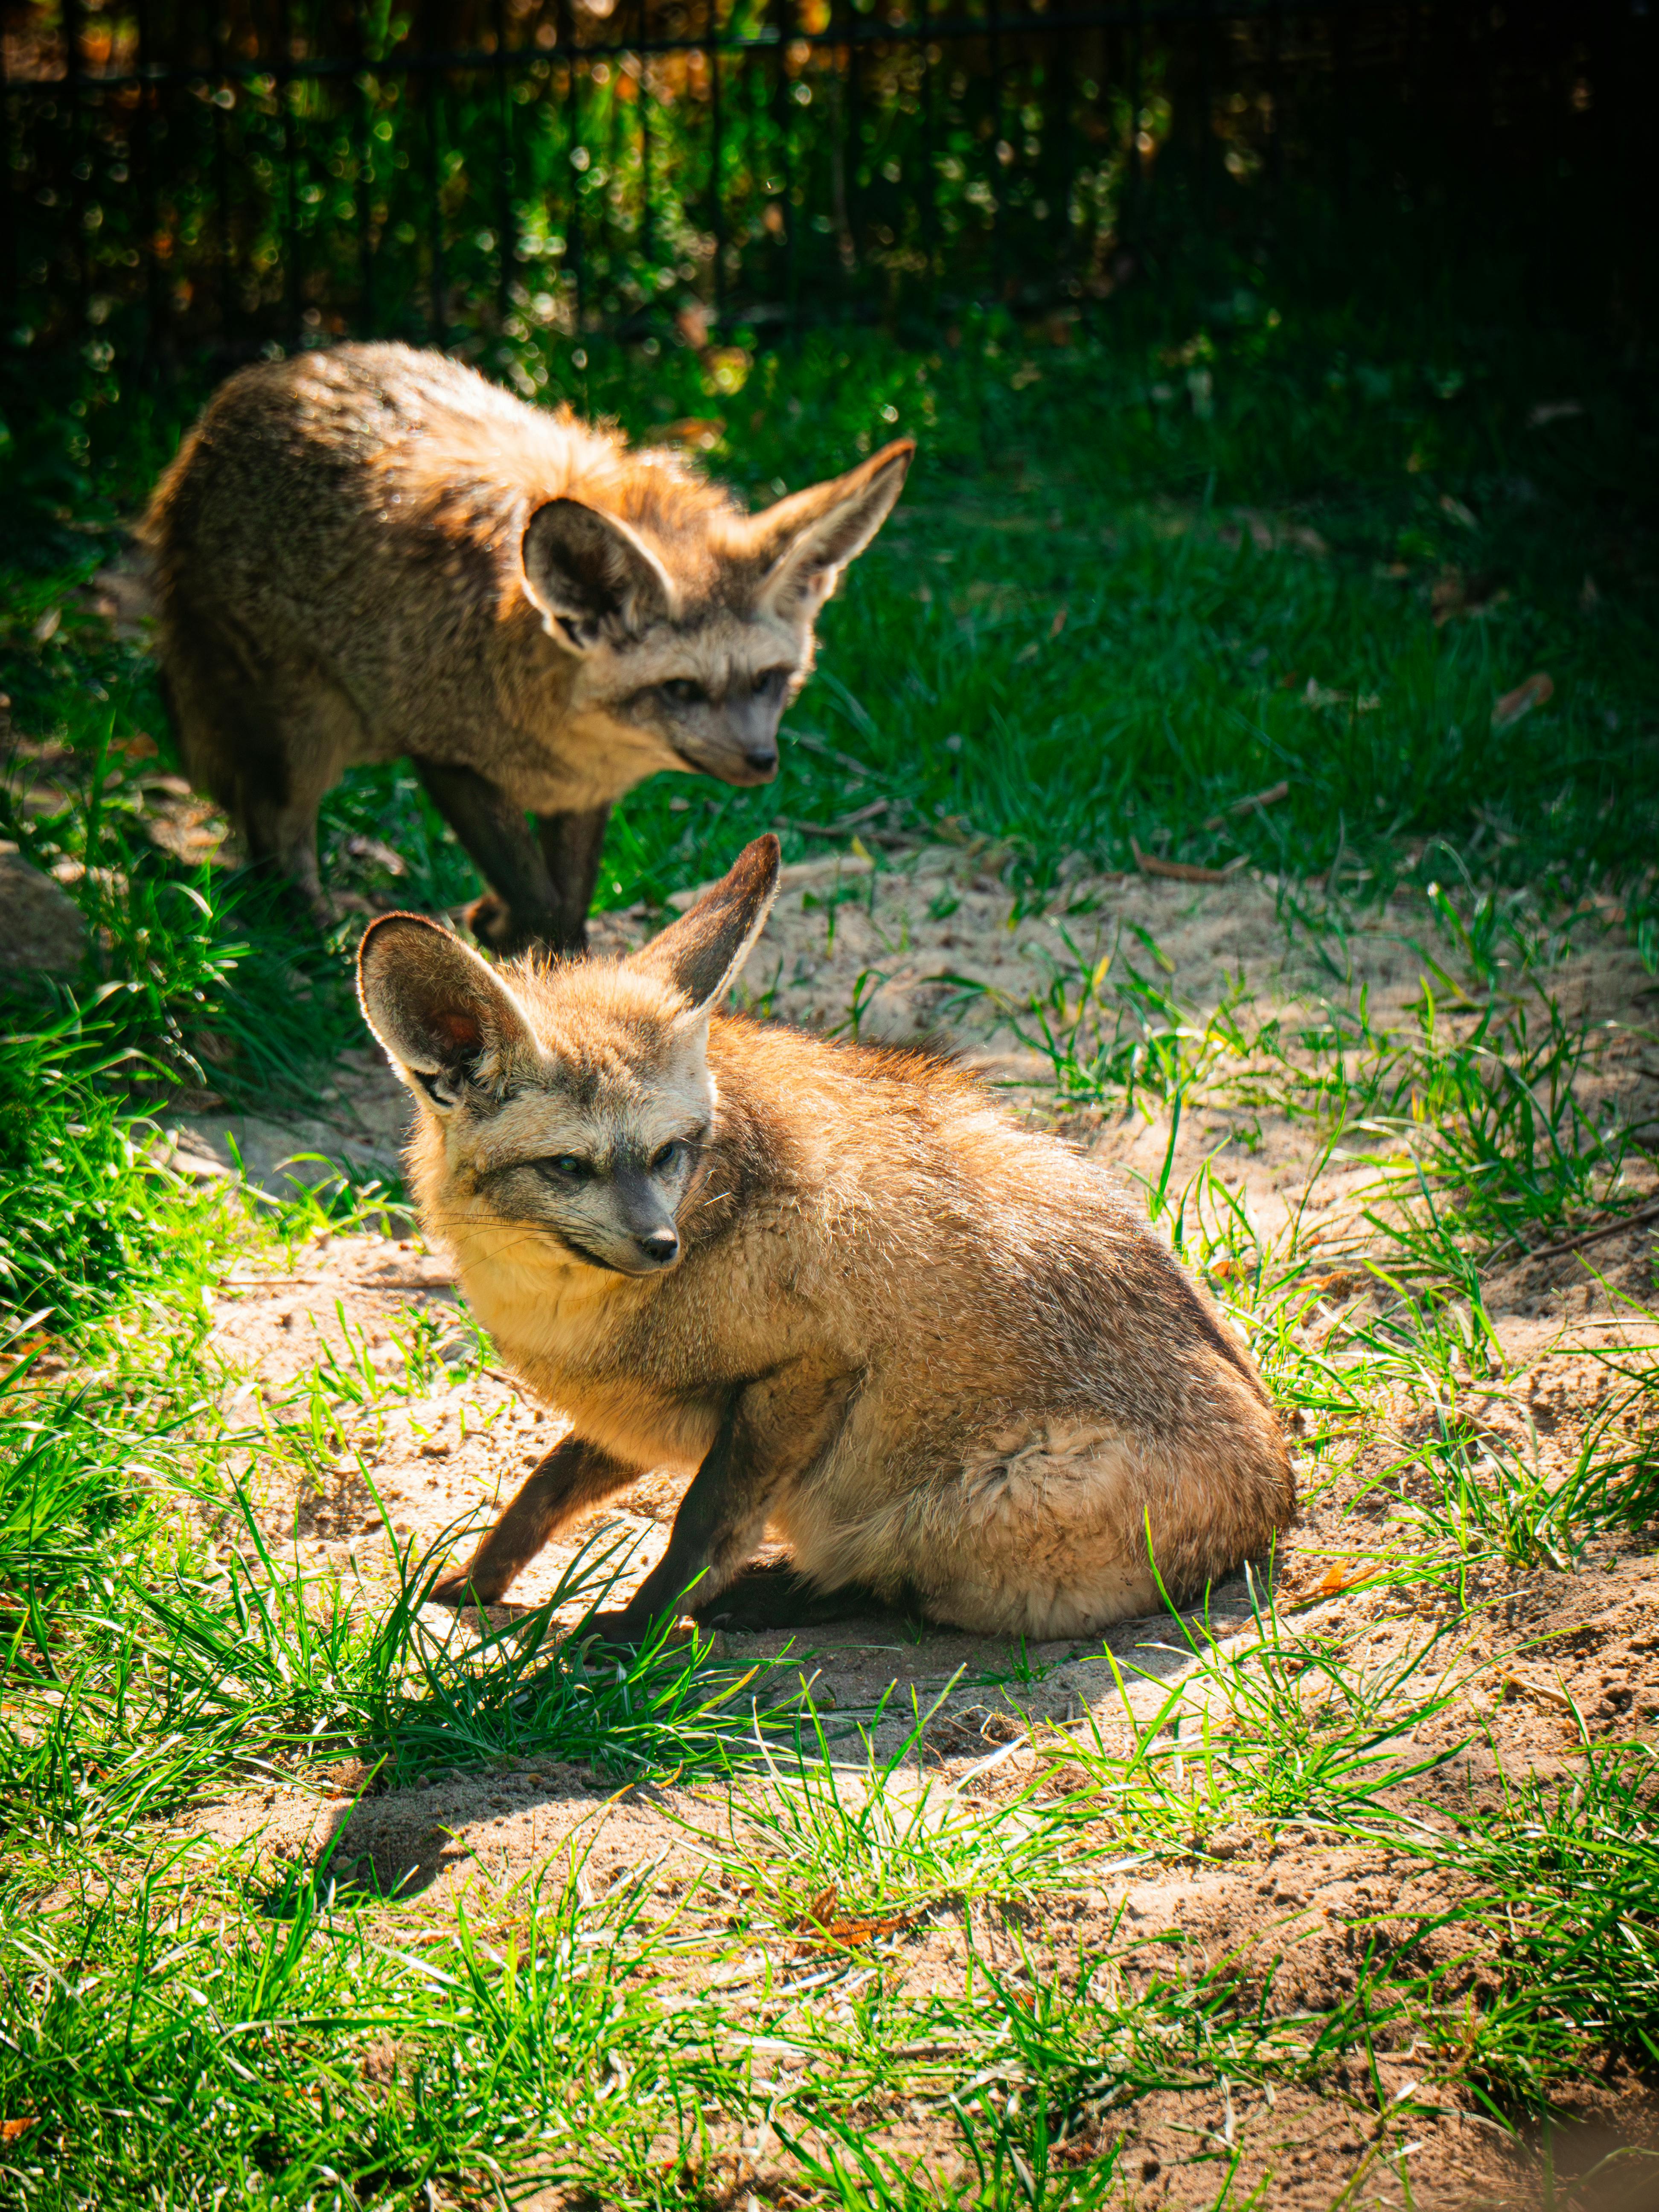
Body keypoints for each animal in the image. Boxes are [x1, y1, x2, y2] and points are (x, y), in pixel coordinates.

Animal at [140, 343, 911, 956]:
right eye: (681, 689)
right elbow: (539, 901)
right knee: (274, 824)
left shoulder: (582, 793)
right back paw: (305, 925)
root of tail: (256, 382)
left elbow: (566, 905)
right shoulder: (444, 755)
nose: (761, 761)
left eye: (770, 680)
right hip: (306, 734)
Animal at [355, 834, 1296, 1642]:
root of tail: (1277, 1513)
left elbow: (701, 1526)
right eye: (567, 1167)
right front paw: (478, 1580)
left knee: (897, 1589)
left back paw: (773, 1596)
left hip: (975, 1504)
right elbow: (546, 1485)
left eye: (667, 1154)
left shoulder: (811, 1369)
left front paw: (628, 1637)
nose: (661, 1246)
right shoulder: (632, 1409)